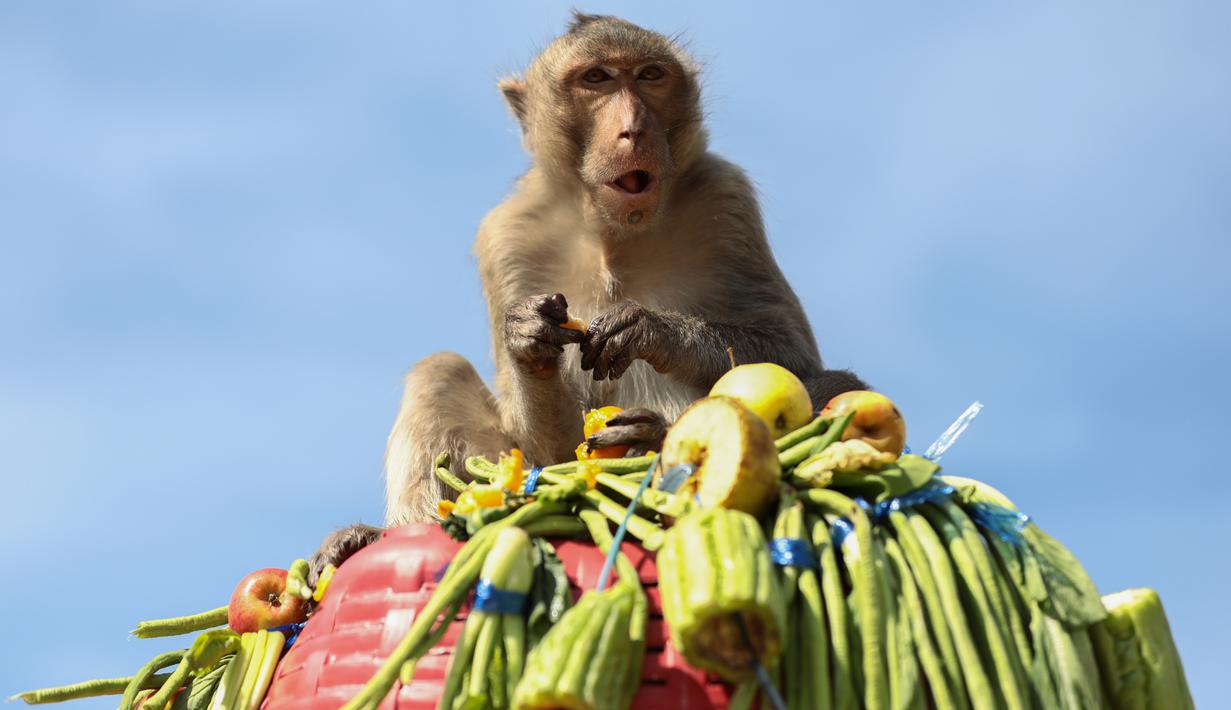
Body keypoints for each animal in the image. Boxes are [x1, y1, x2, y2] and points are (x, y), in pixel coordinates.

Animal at [308, 12, 867, 580]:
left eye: (649, 75)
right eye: (596, 78)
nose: (633, 129)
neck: (610, 234)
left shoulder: (726, 199)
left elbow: (791, 353)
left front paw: (649, 330)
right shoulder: (506, 236)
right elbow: (546, 451)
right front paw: (527, 339)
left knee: (835, 385)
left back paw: (650, 437)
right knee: (439, 370)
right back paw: (374, 537)